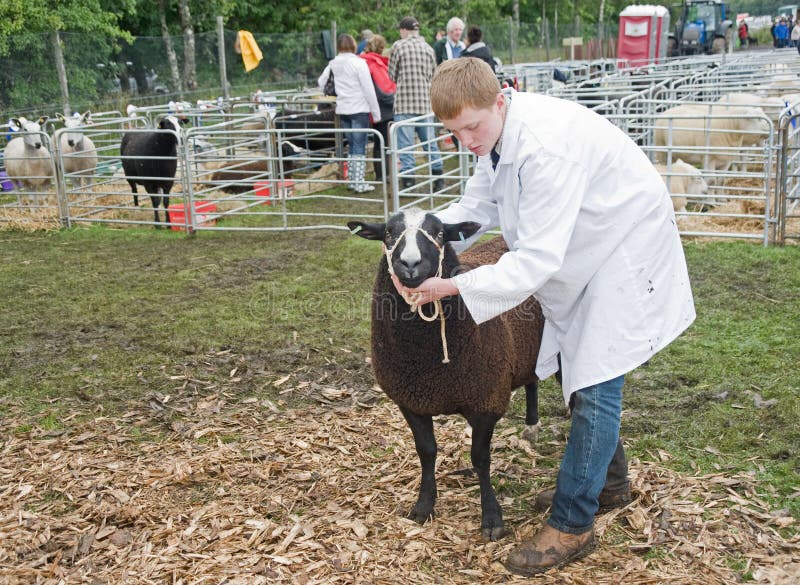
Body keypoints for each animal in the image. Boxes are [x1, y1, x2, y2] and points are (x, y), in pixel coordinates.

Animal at [347, 208, 544, 541]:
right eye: (388, 233)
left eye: (440, 233)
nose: (410, 264)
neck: (428, 363)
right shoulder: (411, 400)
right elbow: (426, 451)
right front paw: (423, 506)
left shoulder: (486, 400)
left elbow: (480, 459)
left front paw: (492, 518)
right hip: (525, 352)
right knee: (531, 381)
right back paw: (531, 427)